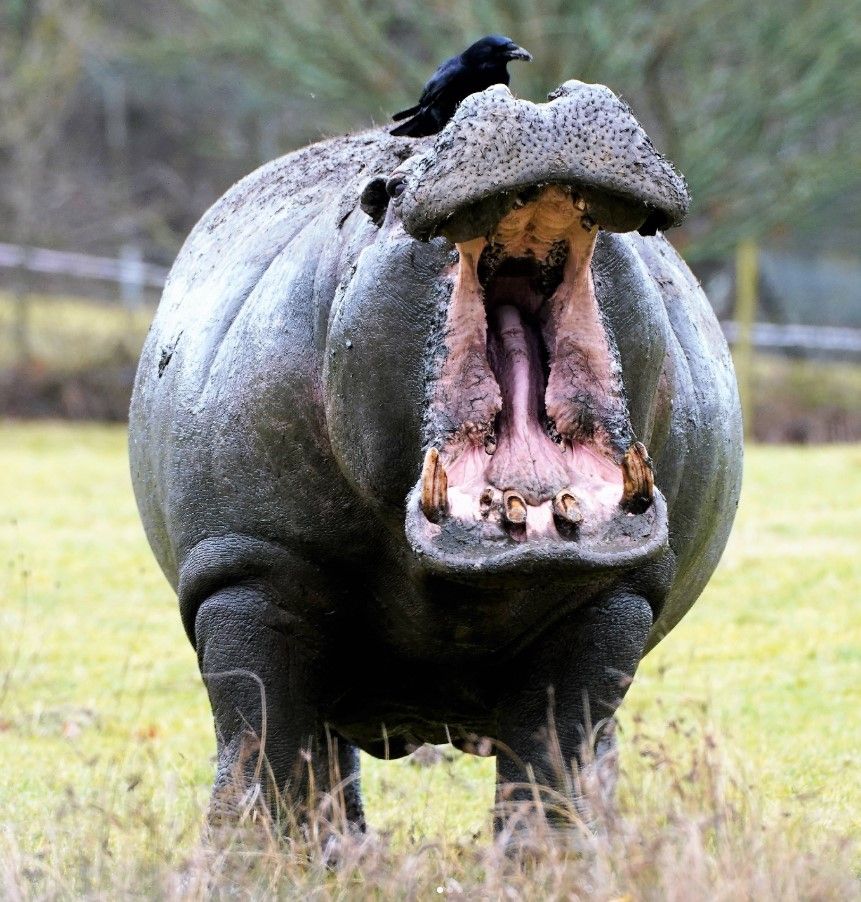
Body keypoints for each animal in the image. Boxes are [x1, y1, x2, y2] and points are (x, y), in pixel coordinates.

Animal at [129, 80, 742, 832]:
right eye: (384, 194)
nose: (538, 105)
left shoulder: (611, 594)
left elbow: (553, 764)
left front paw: (560, 857)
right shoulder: (247, 567)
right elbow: (260, 749)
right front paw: (256, 859)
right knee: (315, 753)